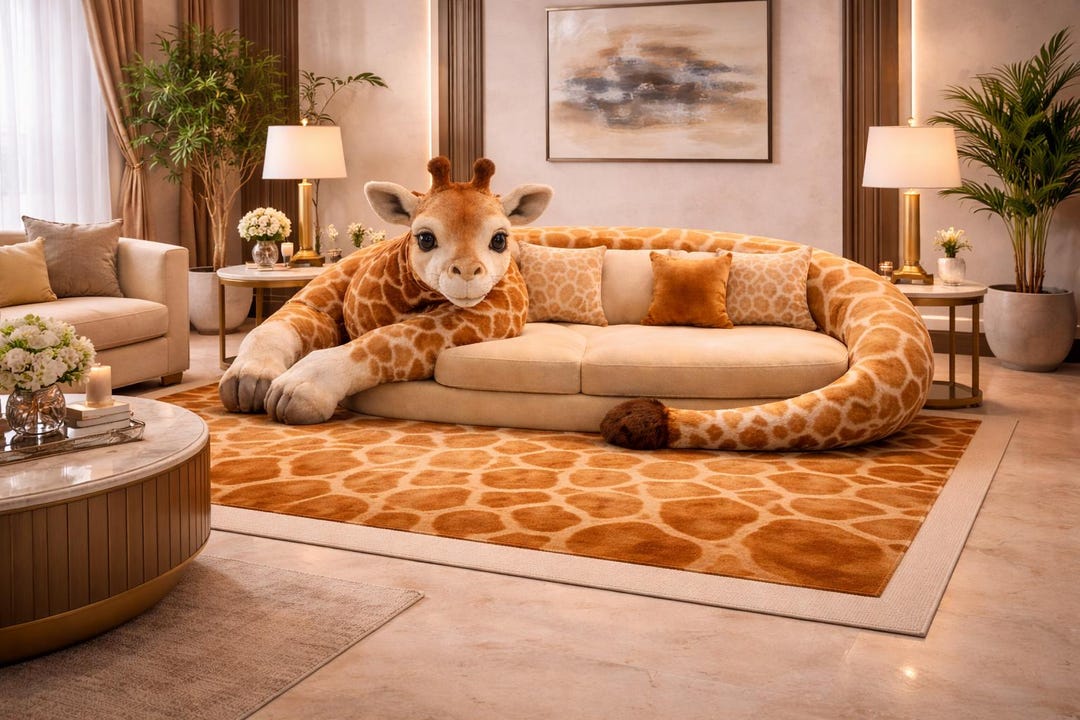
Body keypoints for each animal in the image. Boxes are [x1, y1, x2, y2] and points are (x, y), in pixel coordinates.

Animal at [218, 157, 553, 424]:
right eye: (425, 238)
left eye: (499, 239)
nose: (467, 274)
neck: (406, 293)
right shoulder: (317, 306)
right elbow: (269, 326)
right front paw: (247, 379)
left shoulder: (495, 309)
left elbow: (383, 340)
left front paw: (296, 391)